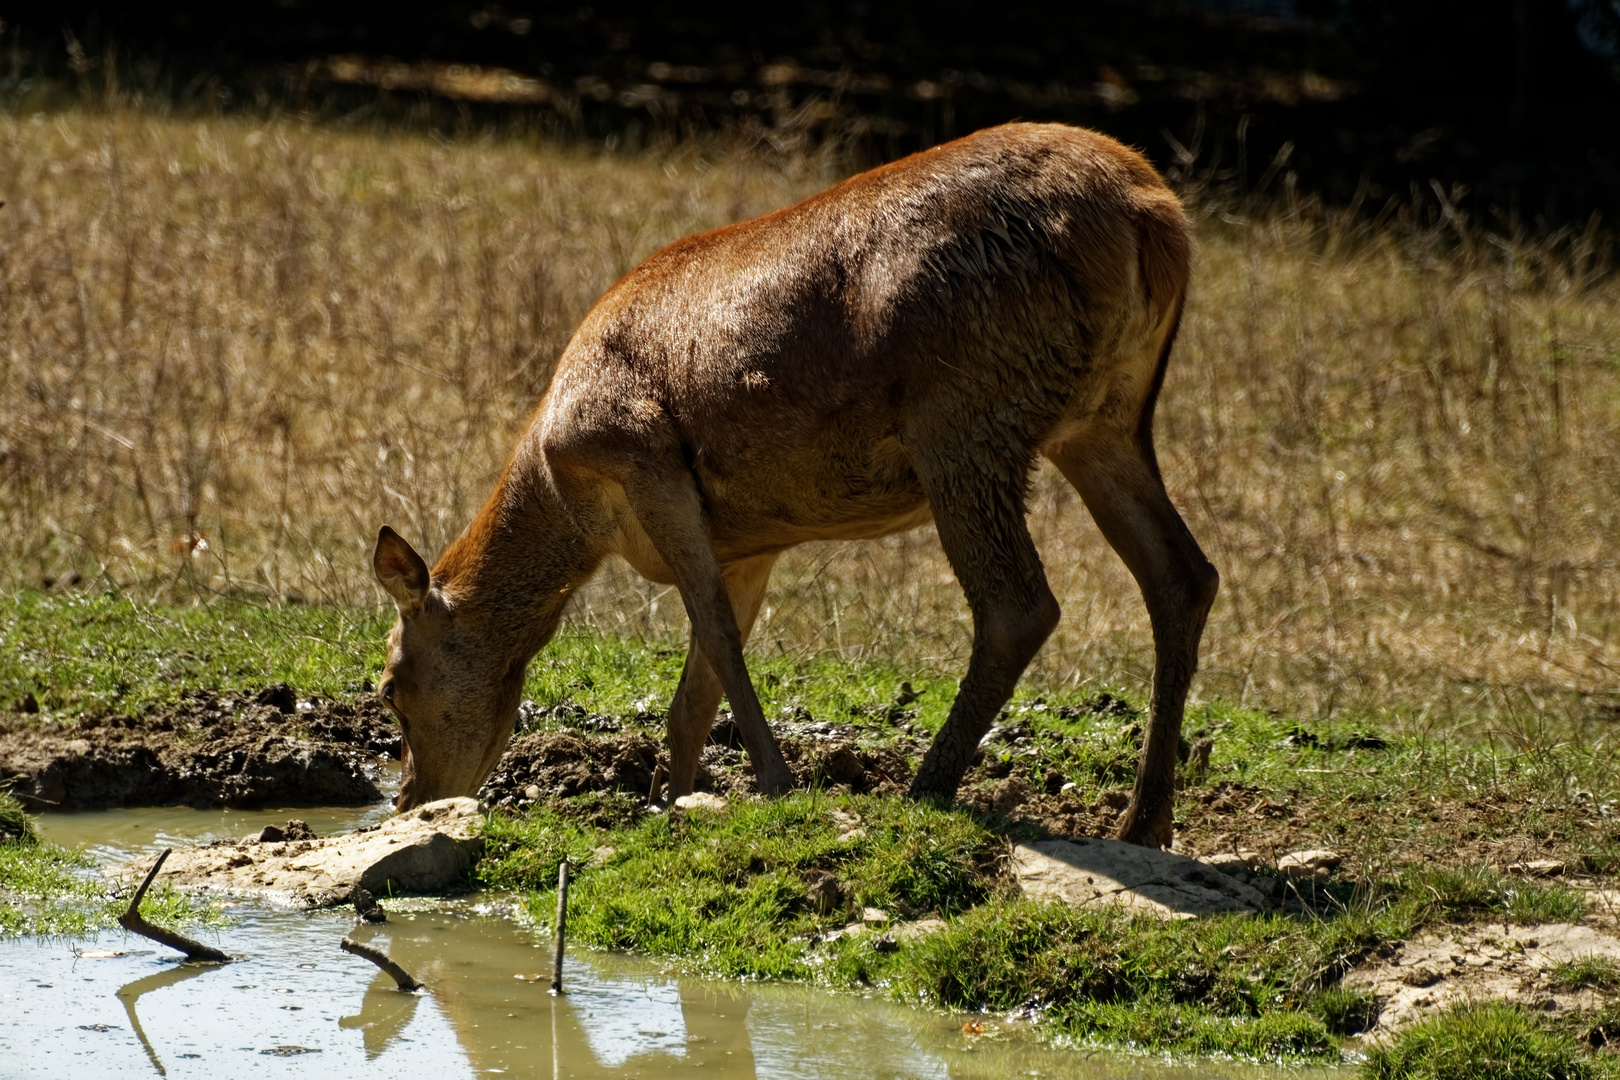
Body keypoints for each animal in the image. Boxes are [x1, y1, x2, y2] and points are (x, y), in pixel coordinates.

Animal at [372, 122, 1218, 848]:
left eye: (389, 684)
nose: (410, 800)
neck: (563, 488)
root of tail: (1154, 216)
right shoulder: (750, 540)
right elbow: (696, 686)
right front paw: (671, 798)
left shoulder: (644, 459)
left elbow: (713, 636)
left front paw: (773, 781)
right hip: (1108, 420)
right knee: (1183, 575)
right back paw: (1142, 821)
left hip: (965, 410)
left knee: (1019, 604)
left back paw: (928, 788)